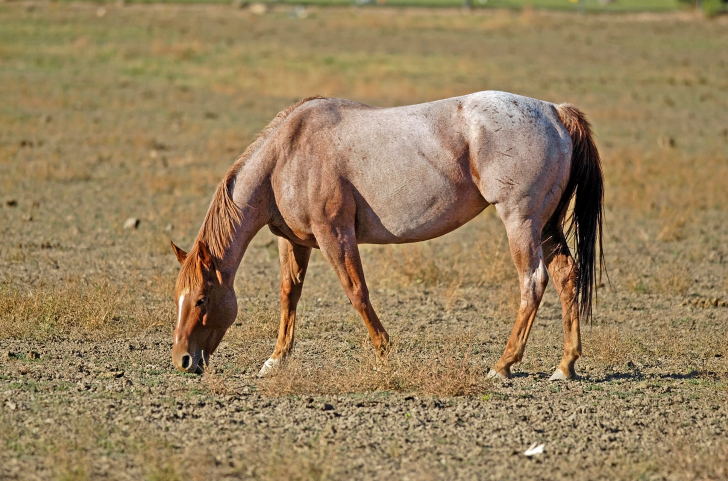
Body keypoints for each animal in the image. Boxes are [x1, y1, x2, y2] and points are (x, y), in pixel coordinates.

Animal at [170, 91, 604, 381]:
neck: (287, 154)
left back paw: (503, 365)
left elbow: (356, 291)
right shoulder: (294, 242)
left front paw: (384, 352)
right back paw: (565, 366)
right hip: (545, 227)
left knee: (533, 282)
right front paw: (276, 359)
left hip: (521, 223)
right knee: (566, 277)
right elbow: (288, 295)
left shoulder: (334, 234)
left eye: (202, 298)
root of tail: (554, 112)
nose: (182, 360)